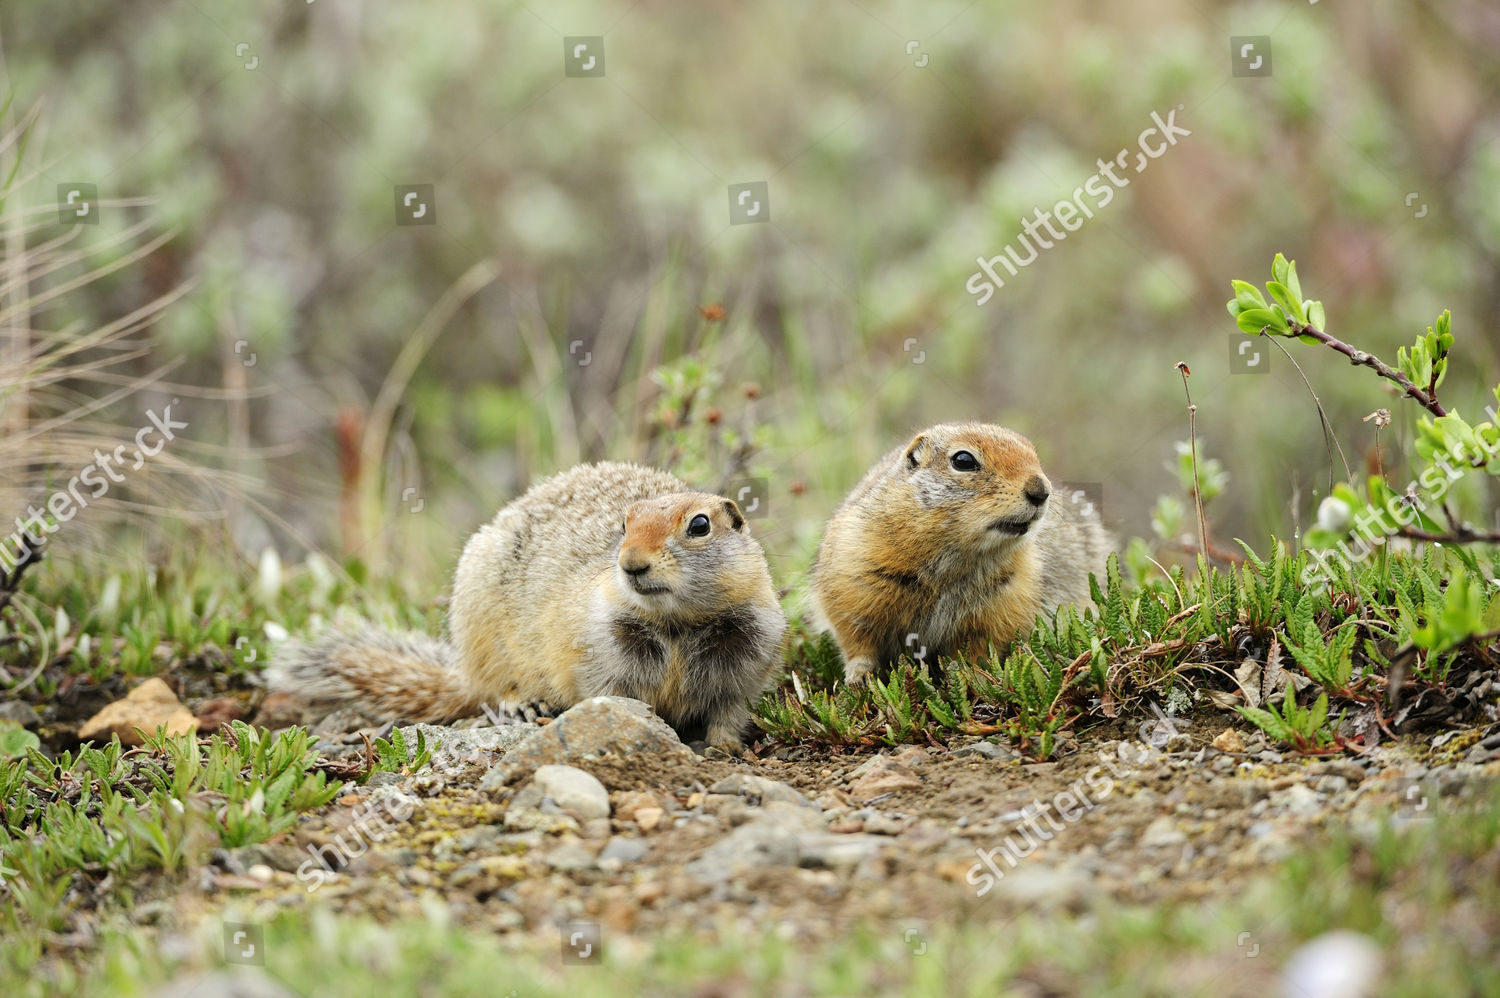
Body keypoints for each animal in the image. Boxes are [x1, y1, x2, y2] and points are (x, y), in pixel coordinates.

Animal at [268, 462, 789, 750]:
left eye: (700, 525)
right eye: (624, 524)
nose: (631, 564)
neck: (677, 624)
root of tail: (461, 672)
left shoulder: (747, 657)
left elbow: (730, 712)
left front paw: (723, 748)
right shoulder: (600, 653)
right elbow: (615, 697)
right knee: (491, 688)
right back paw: (524, 702)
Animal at [807, 422, 1111, 684]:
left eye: (1033, 453)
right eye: (963, 460)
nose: (1041, 490)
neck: (954, 559)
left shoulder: (1005, 598)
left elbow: (978, 647)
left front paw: (970, 677)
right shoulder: (854, 573)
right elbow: (856, 637)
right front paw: (859, 676)